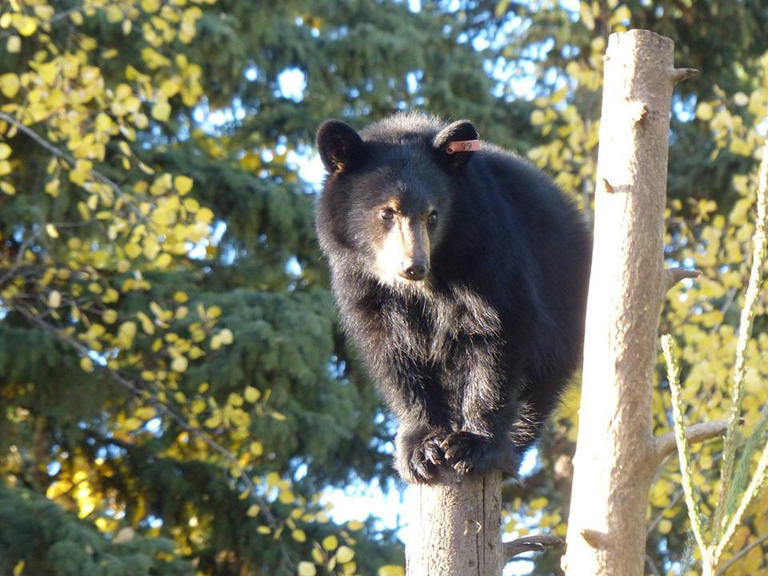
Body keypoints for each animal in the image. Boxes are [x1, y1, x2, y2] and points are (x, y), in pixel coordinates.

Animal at [315, 112, 591, 484]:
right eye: (388, 212)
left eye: (433, 215)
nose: (413, 266)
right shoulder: (362, 284)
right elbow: (393, 354)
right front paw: (420, 448)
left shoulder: (488, 250)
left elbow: (498, 330)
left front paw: (473, 444)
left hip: (566, 302)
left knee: (540, 389)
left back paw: (510, 451)